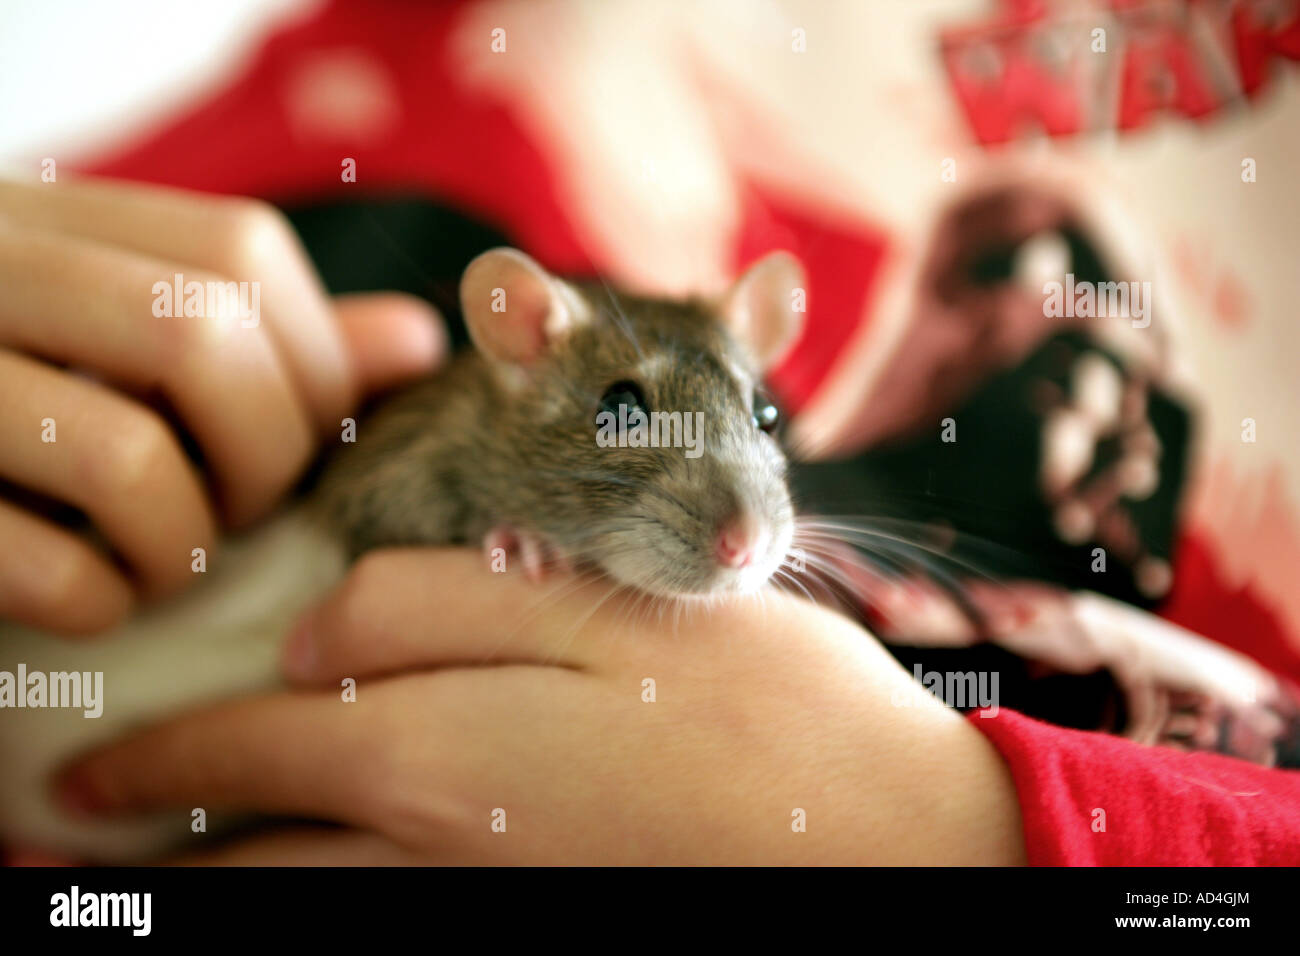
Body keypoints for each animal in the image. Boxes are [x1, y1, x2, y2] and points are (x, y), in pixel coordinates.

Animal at [0, 247, 807, 860]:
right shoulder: (384, 469)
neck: (480, 409)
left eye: (766, 415)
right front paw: (517, 537)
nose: (745, 546)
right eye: (620, 408)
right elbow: (387, 515)